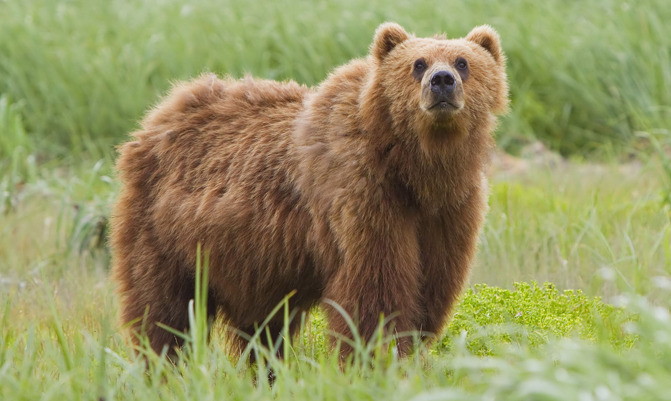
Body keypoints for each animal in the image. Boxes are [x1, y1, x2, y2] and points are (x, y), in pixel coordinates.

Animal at [110, 22, 508, 360]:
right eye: (418, 63)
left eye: (463, 62)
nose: (442, 81)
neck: (415, 168)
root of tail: (159, 114)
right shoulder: (363, 195)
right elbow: (374, 291)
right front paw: (376, 356)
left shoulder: (449, 211)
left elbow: (431, 287)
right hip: (165, 232)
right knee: (164, 311)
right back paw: (163, 365)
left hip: (251, 262)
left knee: (262, 330)